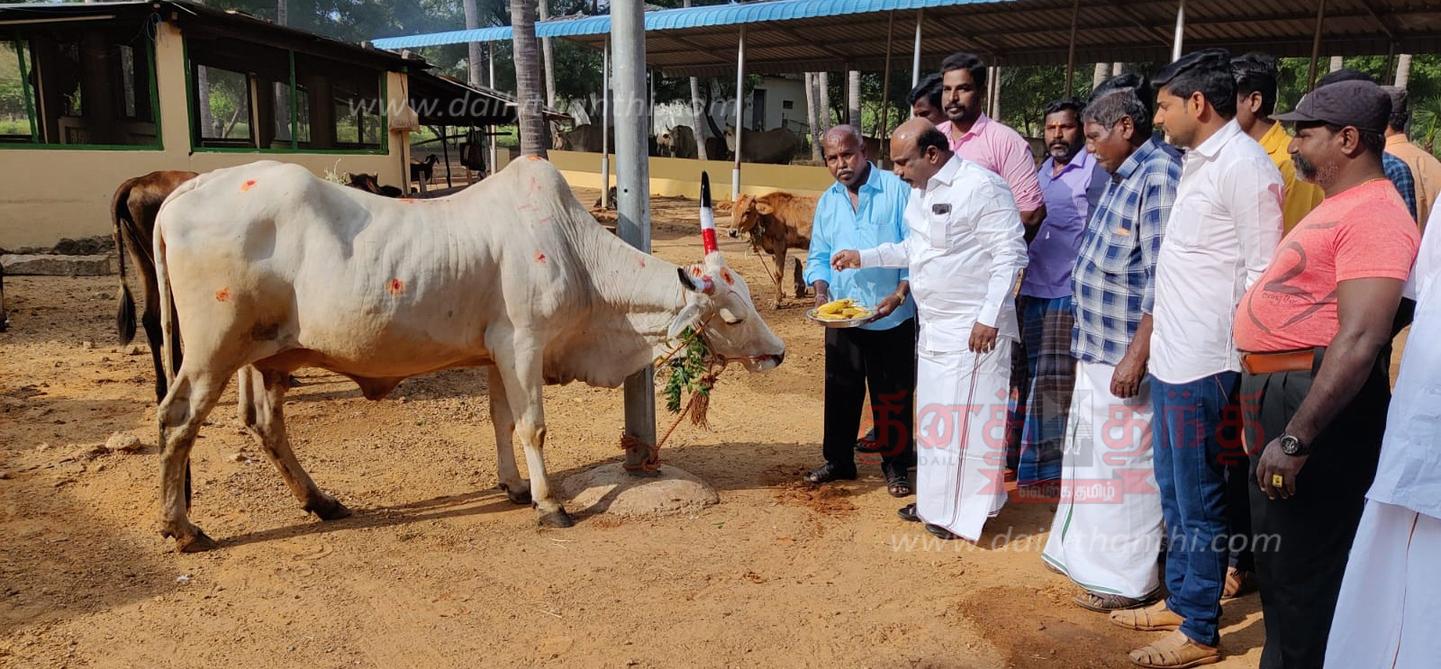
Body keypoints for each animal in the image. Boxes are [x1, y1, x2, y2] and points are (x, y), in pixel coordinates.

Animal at [149, 157, 785, 552]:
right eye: (732, 316)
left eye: (751, 299)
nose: (776, 353)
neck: (575, 252)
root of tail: (187, 189)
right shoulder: (523, 343)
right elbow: (532, 426)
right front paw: (548, 503)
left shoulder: (496, 353)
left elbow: (502, 420)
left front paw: (513, 487)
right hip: (211, 351)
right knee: (177, 420)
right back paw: (182, 528)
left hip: (263, 355)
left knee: (263, 423)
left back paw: (321, 501)